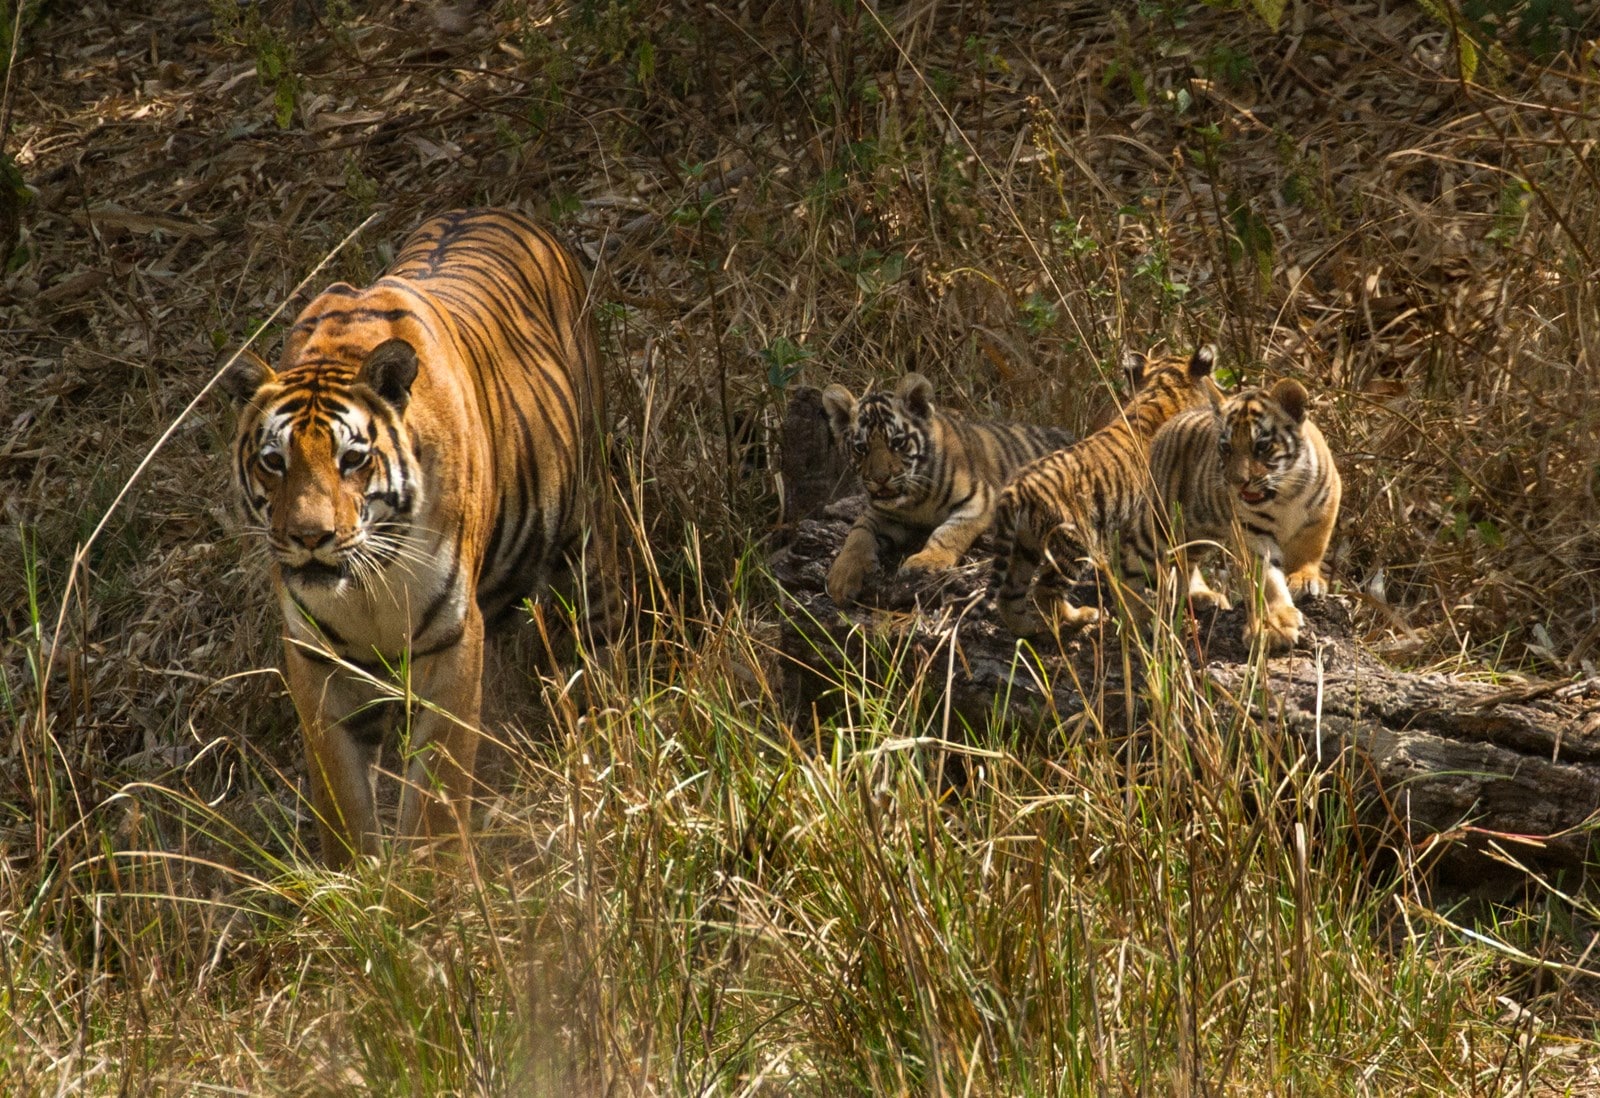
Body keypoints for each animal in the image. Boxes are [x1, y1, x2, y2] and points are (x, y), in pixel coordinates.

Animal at [220, 208, 622, 868]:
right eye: (273, 462)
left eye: (353, 459)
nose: (309, 536)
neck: (367, 589)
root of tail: (504, 210)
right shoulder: (317, 659)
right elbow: (342, 798)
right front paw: (356, 881)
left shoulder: (453, 641)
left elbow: (437, 789)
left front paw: (431, 881)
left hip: (585, 528)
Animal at [821, 371, 1075, 604]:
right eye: (861, 448)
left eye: (897, 442)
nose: (880, 478)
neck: (914, 499)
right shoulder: (881, 511)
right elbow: (858, 534)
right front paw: (841, 577)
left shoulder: (980, 499)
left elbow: (949, 531)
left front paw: (926, 561)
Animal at [988, 345, 1222, 636]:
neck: (1163, 387)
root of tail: (1017, 489)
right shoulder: (1162, 517)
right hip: (1074, 542)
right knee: (1045, 590)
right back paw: (1081, 616)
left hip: (1024, 547)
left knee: (1009, 593)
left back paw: (1028, 629)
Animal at [1128, 377, 1341, 651]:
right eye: (1226, 447)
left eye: (1261, 446)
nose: (1237, 482)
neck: (1283, 496)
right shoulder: (1252, 532)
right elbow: (1266, 579)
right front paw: (1275, 625)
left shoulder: (1325, 507)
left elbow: (1310, 548)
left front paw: (1303, 579)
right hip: (1163, 522)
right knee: (1127, 557)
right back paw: (1136, 615)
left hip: (1198, 531)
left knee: (1186, 561)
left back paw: (1201, 596)